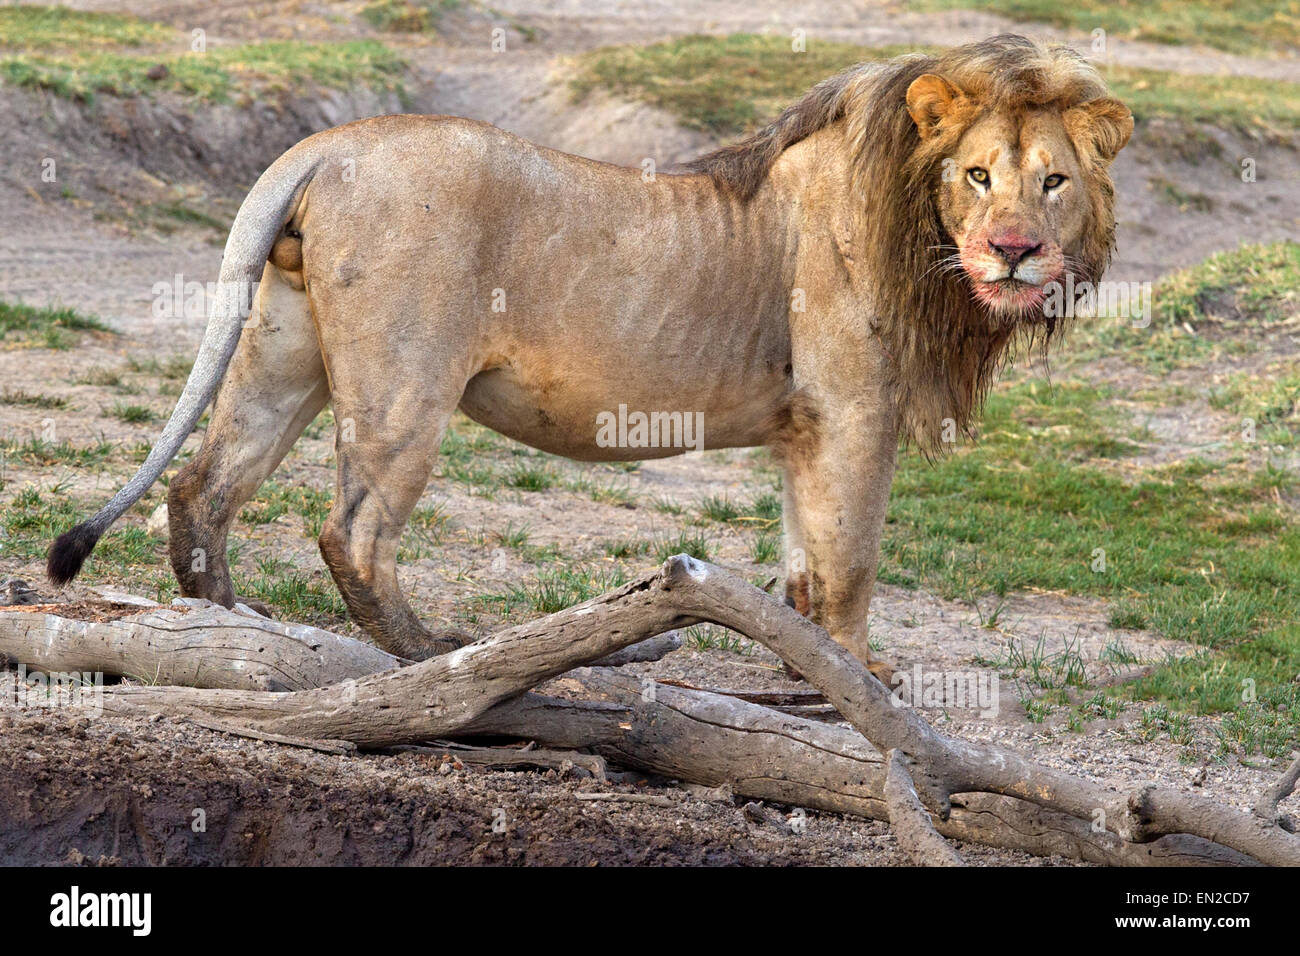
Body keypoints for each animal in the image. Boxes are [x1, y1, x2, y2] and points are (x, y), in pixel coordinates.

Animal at [48, 34, 1132, 676]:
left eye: (1053, 182)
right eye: (978, 175)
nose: (1014, 250)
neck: (921, 231)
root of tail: (328, 144)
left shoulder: (806, 429)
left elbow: (802, 567)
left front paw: (806, 672)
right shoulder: (853, 411)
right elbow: (852, 564)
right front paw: (860, 681)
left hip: (286, 348)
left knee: (203, 486)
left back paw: (235, 629)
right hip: (404, 382)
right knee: (351, 533)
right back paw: (431, 649)